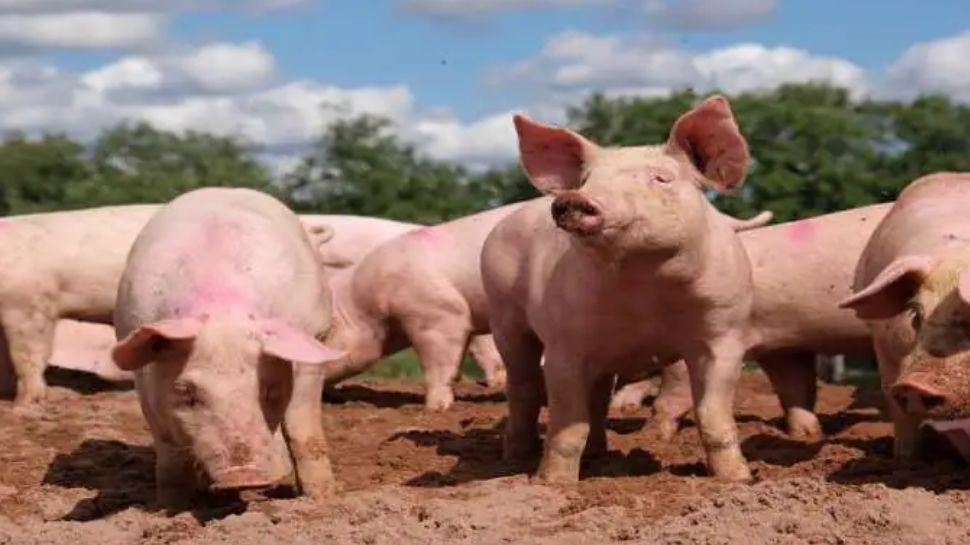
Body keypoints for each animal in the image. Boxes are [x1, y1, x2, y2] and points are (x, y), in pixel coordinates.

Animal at [113, 187, 346, 506]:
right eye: (187, 393)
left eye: (268, 391)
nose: (242, 475)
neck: (221, 303)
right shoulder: (144, 375)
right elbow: (169, 453)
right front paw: (169, 507)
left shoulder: (311, 342)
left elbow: (303, 431)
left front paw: (322, 500)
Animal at [481, 95, 758, 483]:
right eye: (587, 179)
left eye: (661, 178)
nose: (573, 199)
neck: (644, 288)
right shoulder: (565, 344)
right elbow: (568, 425)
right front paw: (553, 484)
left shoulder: (725, 335)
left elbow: (712, 416)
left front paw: (738, 479)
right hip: (504, 317)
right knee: (523, 387)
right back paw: (516, 458)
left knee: (596, 398)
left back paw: (599, 454)